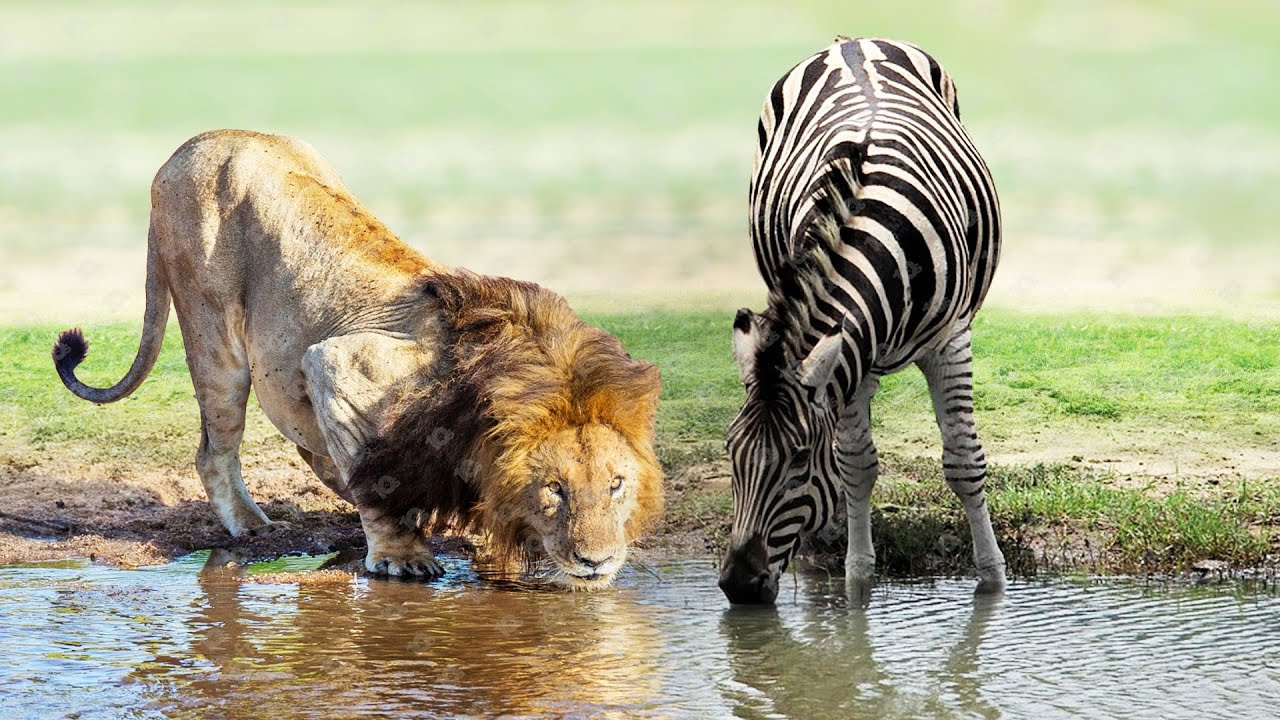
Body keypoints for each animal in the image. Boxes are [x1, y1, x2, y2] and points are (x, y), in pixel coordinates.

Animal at [51, 129, 664, 588]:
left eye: (616, 484)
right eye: (555, 488)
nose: (597, 561)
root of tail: (190, 145)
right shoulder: (336, 364)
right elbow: (381, 487)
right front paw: (403, 556)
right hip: (213, 335)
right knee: (214, 450)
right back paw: (252, 525)